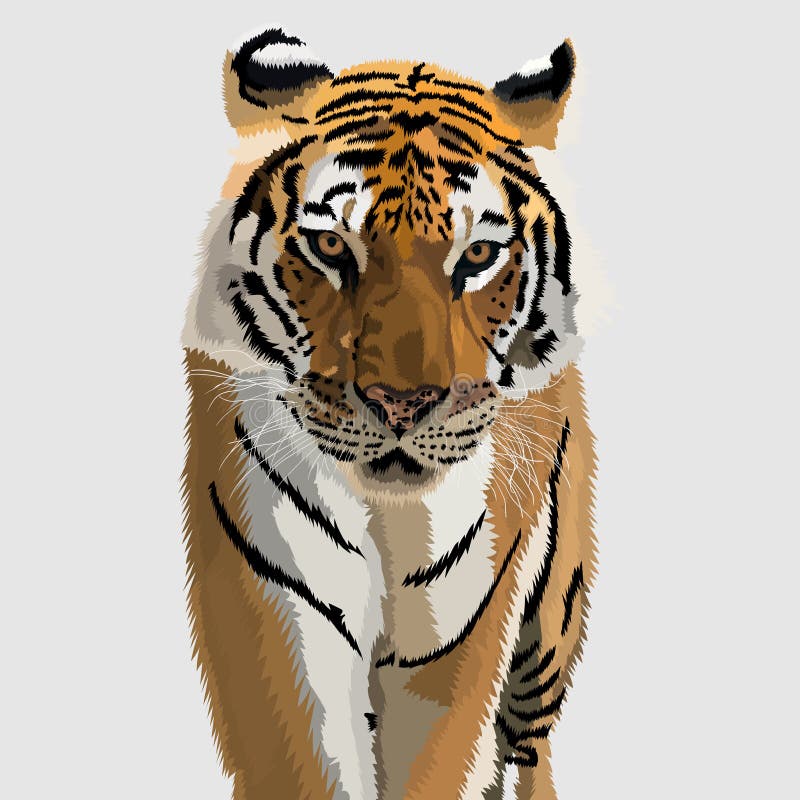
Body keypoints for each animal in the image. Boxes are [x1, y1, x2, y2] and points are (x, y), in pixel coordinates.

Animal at [182, 25, 597, 800]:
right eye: (331, 245)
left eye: (479, 255)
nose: (401, 404)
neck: (388, 514)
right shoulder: (280, 600)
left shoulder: (465, 629)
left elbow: (440, 761)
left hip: (548, 635)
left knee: (529, 745)